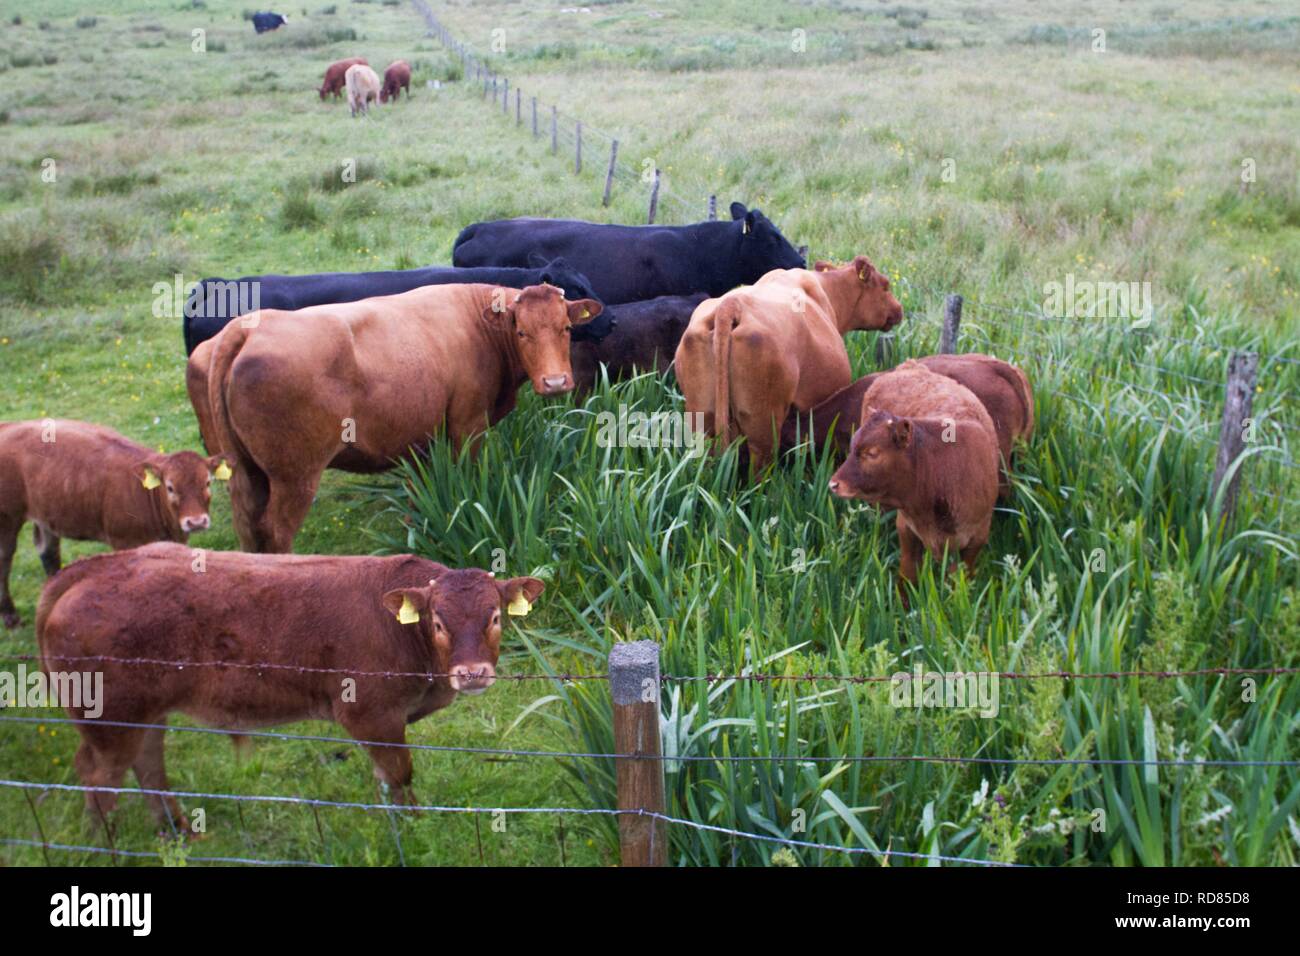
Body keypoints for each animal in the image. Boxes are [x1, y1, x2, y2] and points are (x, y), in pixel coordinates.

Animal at [0, 420, 228, 629]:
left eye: (207, 482)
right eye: (170, 487)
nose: (196, 521)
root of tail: (8, 425)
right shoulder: (124, 541)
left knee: (48, 551)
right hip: (7, 518)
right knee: (5, 558)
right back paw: (10, 616)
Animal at [37, 542, 544, 825]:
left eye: (495, 617)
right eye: (438, 623)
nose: (472, 672)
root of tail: (95, 567)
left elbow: (385, 779)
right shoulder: (370, 713)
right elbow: (400, 774)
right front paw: (416, 824)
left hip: (143, 713)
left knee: (147, 766)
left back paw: (175, 828)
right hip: (110, 719)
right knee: (100, 779)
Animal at [195, 283, 601, 552]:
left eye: (566, 328)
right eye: (521, 331)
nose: (555, 382)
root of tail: (246, 329)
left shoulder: (424, 437)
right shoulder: (468, 425)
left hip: (249, 474)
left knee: (248, 527)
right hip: (295, 476)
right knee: (275, 531)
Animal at [828, 360, 1000, 594]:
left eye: (872, 453)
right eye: (853, 445)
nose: (833, 484)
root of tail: (908, 365)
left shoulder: (976, 539)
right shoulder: (907, 528)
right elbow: (908, 575)